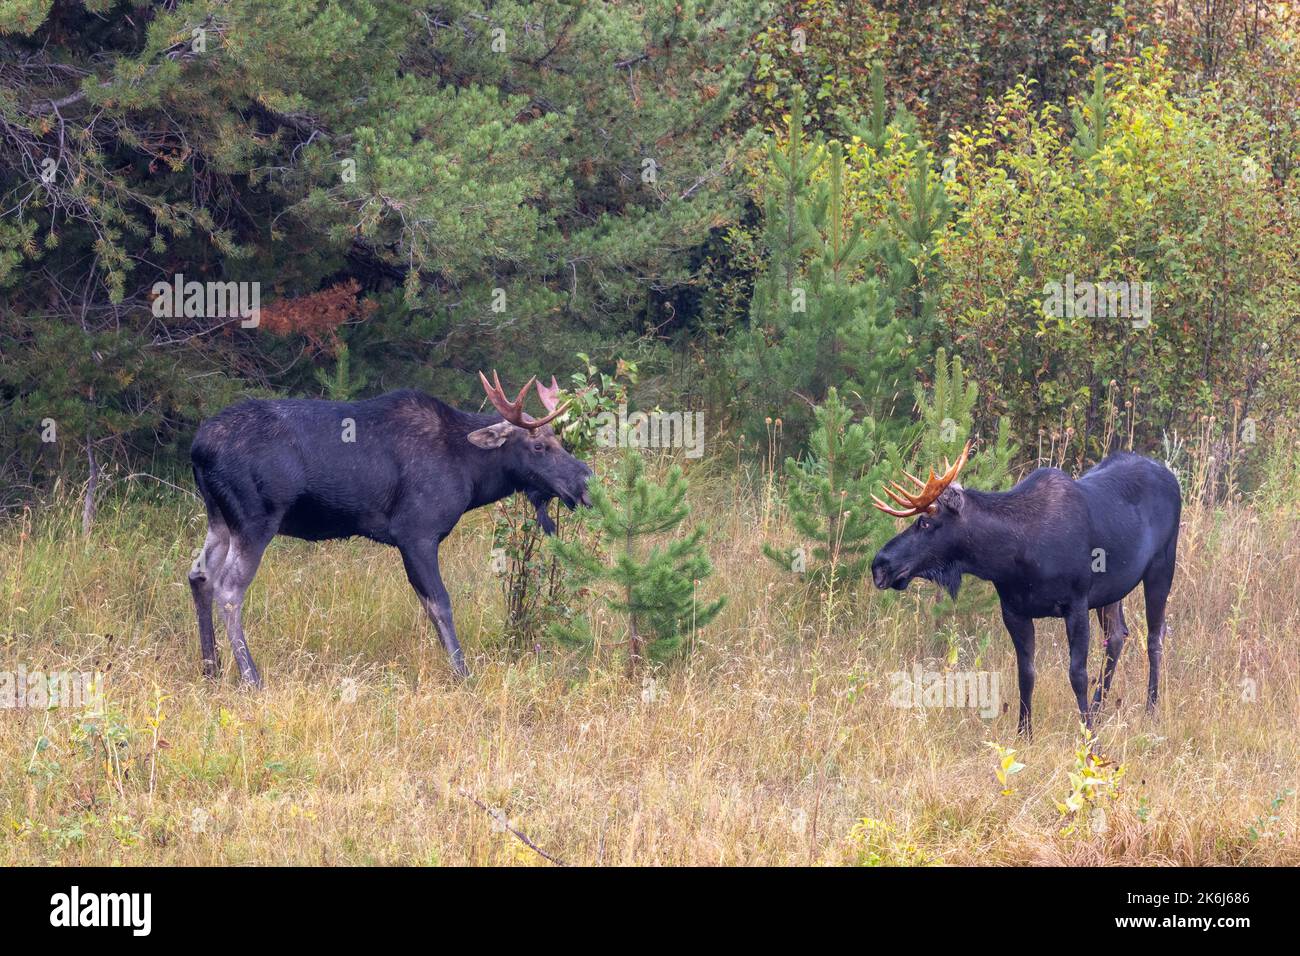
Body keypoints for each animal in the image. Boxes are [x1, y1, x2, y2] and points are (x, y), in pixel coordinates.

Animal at [187, 371, 593, 686]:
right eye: (538, 445)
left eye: (559, 441)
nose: (585, 480)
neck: (472, 474)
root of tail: (197, 449)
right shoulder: (416, 531)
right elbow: (440, 603)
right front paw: (462, 673)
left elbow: (430, 605)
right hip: (255, 520)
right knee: (228, 587)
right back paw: (251, 677)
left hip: (219, 519)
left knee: (198, 575)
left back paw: (211, 670)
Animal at [869, 444, 1180, 736]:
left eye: (925, 521)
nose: (880, 565)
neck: (1014, 554)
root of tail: (1170, 477)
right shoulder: (1014, 610)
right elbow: (1025, 674)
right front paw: (1024, 733)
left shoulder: (1076, 603)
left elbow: (1077, 674)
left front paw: (1088, 735)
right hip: (1112, 590)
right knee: (1117, 635)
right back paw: (1098, 709)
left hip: (1161, 566)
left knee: (1155, 637)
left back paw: (1150, 709)